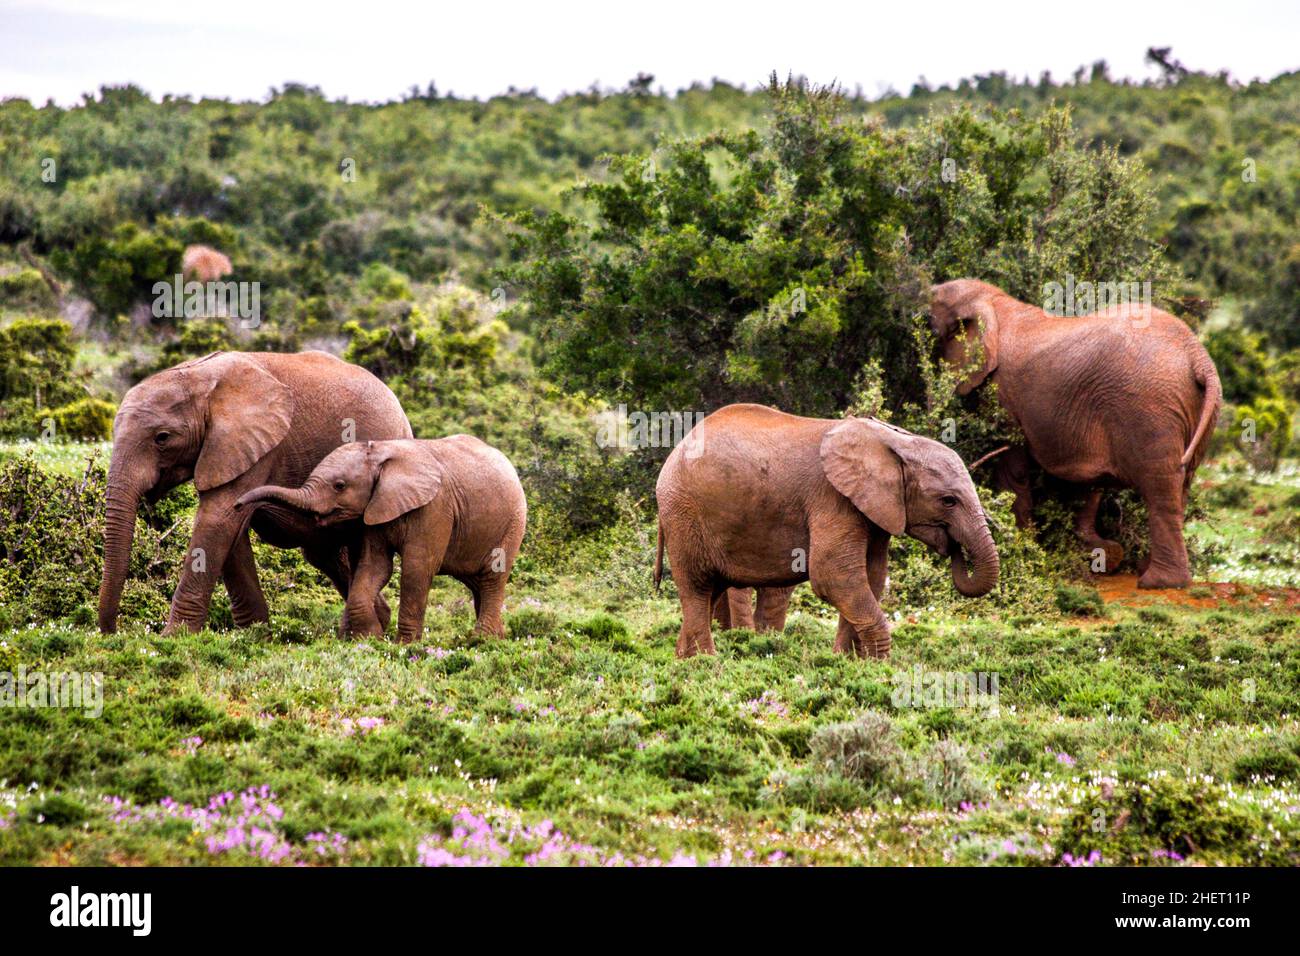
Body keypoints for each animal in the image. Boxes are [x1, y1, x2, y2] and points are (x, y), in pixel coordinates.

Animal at [98, 350, 412, 634]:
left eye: (162, 438)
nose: (113, 633)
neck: (198, 377)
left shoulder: (257, 444)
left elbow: (218, 519)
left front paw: (175, 638)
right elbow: (230, 531)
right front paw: (255, 635)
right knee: (322, 554)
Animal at [235, 436, 527, 643]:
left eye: (339, 486)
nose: (238, 505)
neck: (382, 452)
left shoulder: (435, 507)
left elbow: (416, 568)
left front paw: (404, 646)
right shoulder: (374, 508)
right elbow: (374, 566)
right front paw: (368, 639)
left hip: (514, 521)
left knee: (492, 577)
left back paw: (480, 642)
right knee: (476, 582)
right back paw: (497, 638)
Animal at [654, 404, 999, 659]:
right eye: (948, 501)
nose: (954, 548)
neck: (896, 442)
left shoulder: (871, 510)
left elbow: (870, 578)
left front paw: (846, 662)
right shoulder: (833, 499)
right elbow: (834, 576)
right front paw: (879, 667)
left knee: (708, 592)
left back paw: (682, 661)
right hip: (683, 514)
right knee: (698, 588)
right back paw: (705, 663)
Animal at [928, 279, 1222, 588]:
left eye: (931, 325)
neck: (994, 301)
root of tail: (1198, 358)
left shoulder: (1002, 394)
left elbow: (1012, 464)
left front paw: (1024, 547)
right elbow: (1089, 482)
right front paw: (1096, 553)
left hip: (1150, 409)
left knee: (1160, 488)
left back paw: (1159, 582)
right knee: (1181, 484)